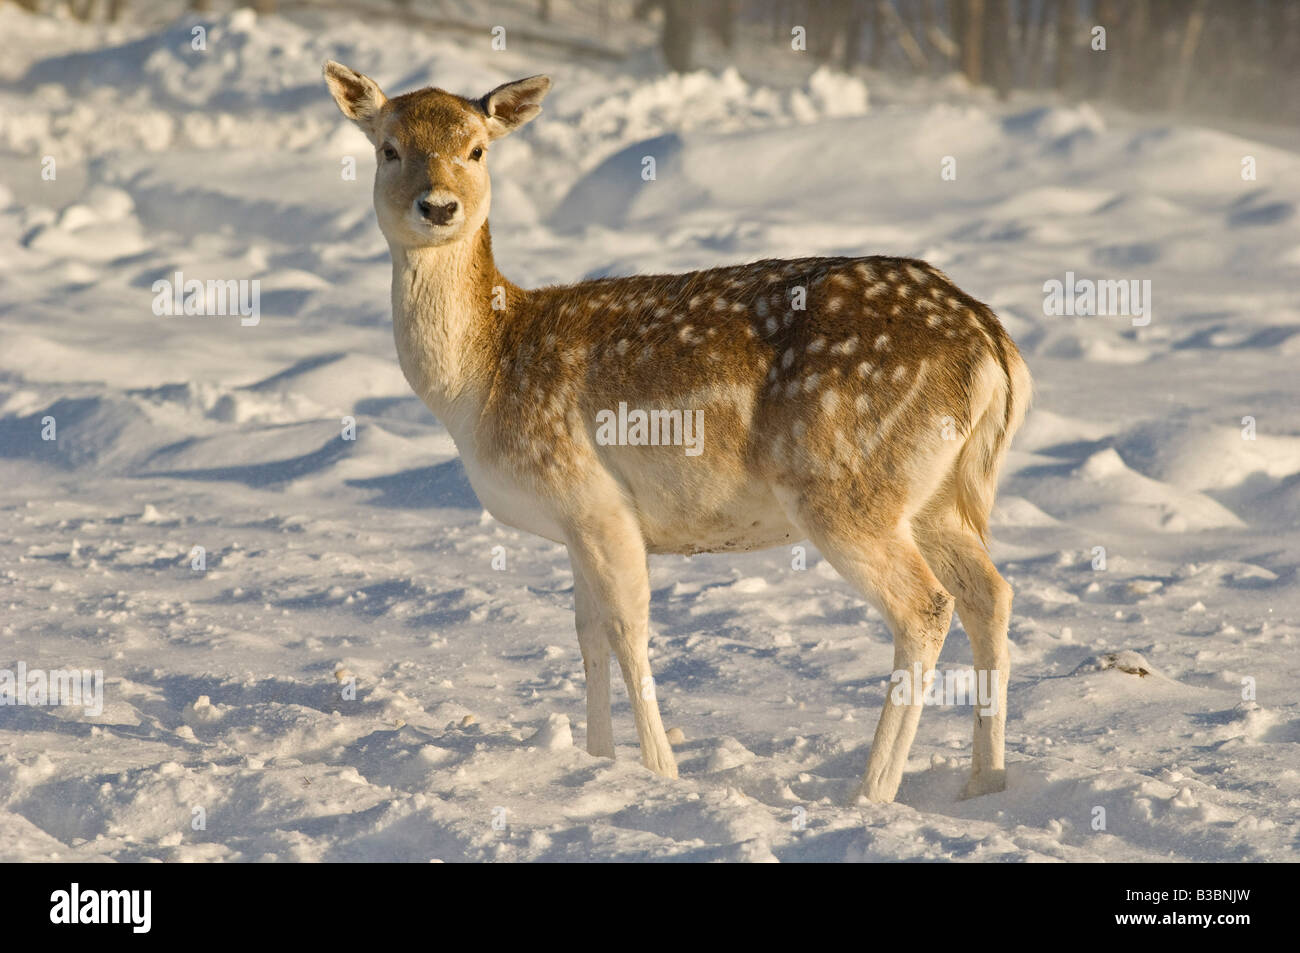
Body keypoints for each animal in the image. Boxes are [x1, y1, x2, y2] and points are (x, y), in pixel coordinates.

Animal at [323, 61, 1032, 804]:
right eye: (389, 148)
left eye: (477, 150)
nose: (437, 207)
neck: (482, 379)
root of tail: (994, 346)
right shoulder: (574, 519)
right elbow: (587, 634)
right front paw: (597, 759)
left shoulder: (594, 496)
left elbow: (628, 629)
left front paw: (660, 772)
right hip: (937, 496)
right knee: (991, 594)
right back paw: (985, 783)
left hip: (846, 482)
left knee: (925, 606)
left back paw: (871, 790)